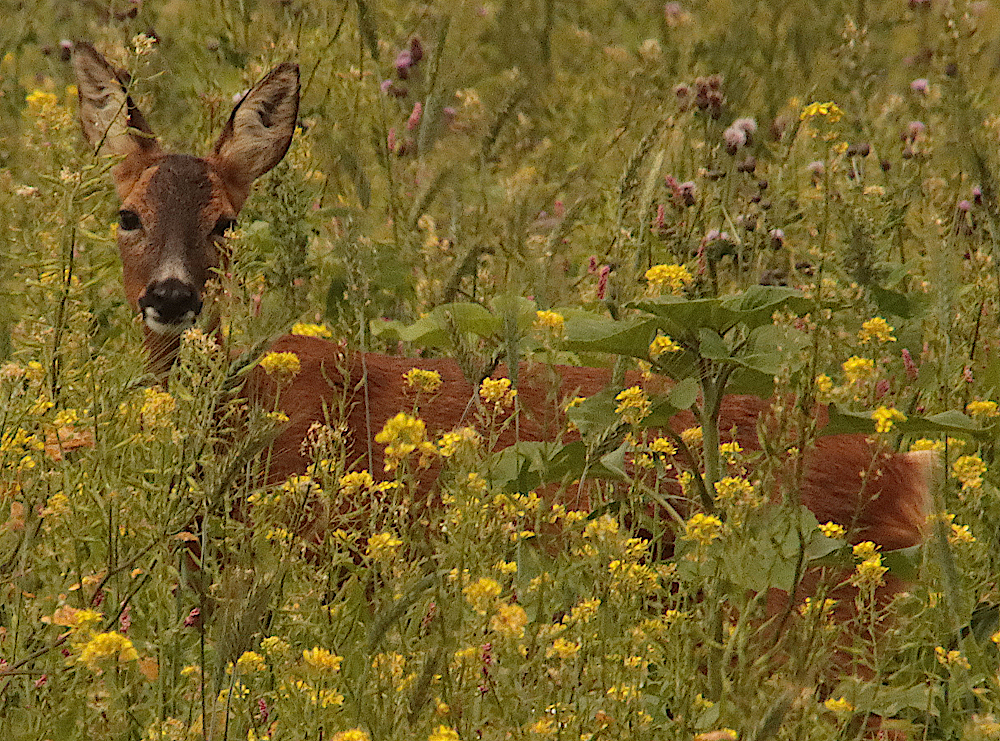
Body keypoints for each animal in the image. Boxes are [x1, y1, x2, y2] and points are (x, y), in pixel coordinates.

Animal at [73, 43, 937, 688]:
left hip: (807, 603)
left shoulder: (316, 554)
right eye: (128, 215)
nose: (172, 295)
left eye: (225, 221)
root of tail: (906, 468)